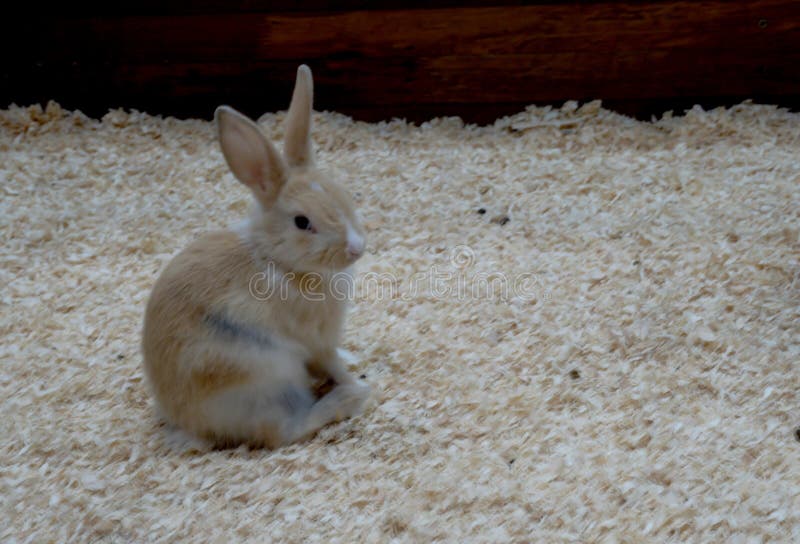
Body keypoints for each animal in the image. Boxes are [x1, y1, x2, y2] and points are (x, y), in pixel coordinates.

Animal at [142, 65, 370, 448]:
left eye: (344, 194)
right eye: (302, 222)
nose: (356, 247)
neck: (278, 260)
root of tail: (191, 427)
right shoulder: (317, 339)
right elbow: (332, 363)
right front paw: (359, 384)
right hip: (270, 382)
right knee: (282, 431)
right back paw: (346, 401)